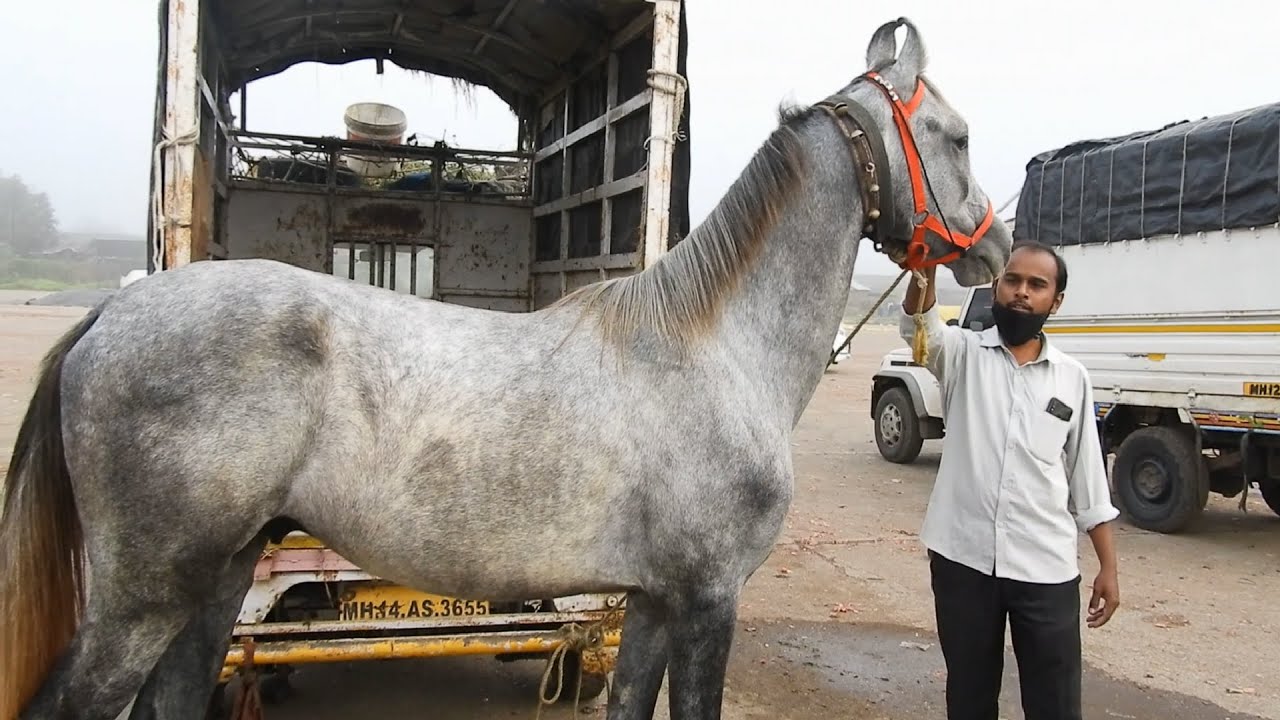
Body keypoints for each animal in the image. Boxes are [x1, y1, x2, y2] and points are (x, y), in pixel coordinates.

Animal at [0, 16, 1012, 720]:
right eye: (957, 137)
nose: (996, 251)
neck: (716, 349)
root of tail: (114, 311)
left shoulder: (649, 603)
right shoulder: (706, 600)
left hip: (212, 583)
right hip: (140, 601)